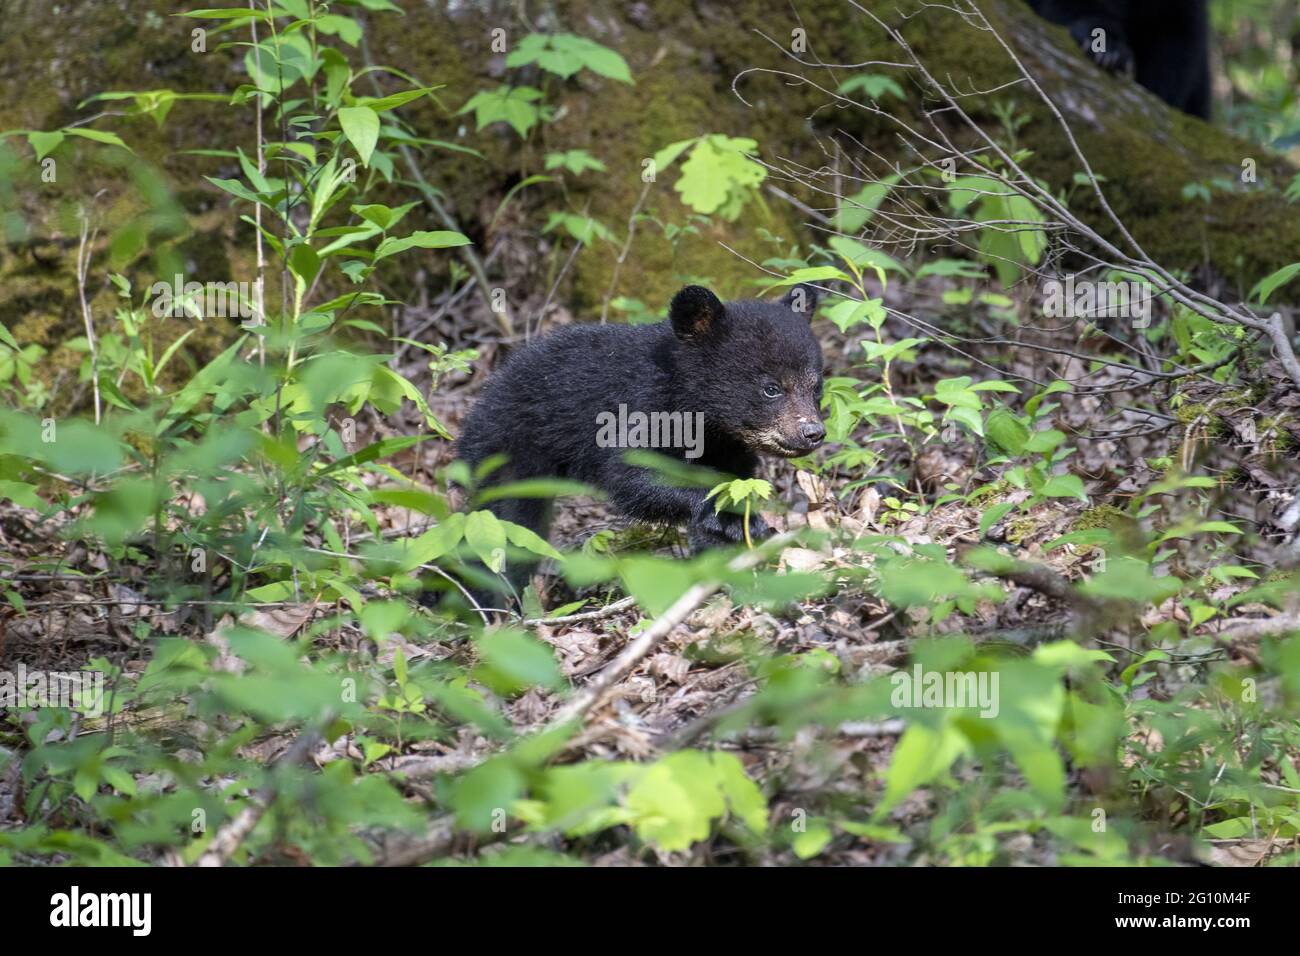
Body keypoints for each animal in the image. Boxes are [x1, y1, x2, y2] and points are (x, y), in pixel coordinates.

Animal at [453, 283, 826, 603]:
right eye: (771, 388)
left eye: (816, 386)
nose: (813, 432)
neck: (701, 418)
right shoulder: (639, 410)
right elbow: (633, 478)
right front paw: (736, 522)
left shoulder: (728, 449)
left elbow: (733, 483)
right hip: (509, 453)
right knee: (508, 527)